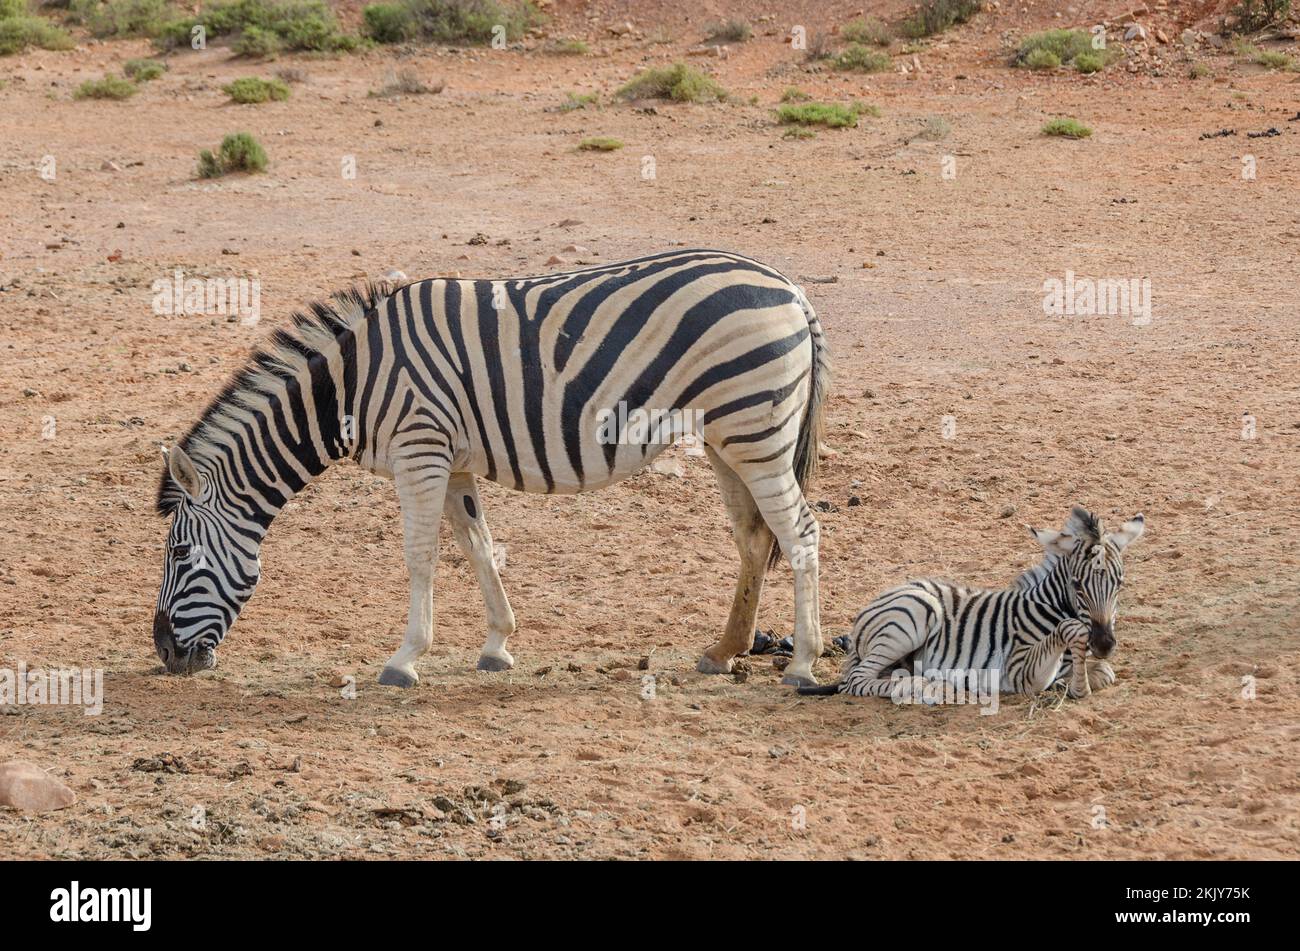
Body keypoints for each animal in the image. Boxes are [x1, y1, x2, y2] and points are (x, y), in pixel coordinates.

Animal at [153, 249, 831, 689]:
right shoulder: (450, 463)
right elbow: (476, 544)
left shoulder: (420, 452)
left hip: (755, 430)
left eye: (179, 554)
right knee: (754, 537)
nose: (164, 653)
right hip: (728, 437)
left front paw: (404, 659)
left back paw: (802, 663)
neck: (351, 386)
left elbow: (421, 556)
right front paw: (498, 645)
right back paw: (725, 651)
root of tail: (792, 290)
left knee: (800, 533)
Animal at [799, 506, 1144, 702]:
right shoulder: (1019, 670)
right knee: (856, 681)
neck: (1047, 608)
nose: (1104, 644)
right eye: (1076, 585)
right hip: (915, 613)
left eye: (1120, 582)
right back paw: (927, 688)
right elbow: (1071, 634)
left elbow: (1104, 671)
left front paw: (1074, 680)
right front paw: (1075, 685)